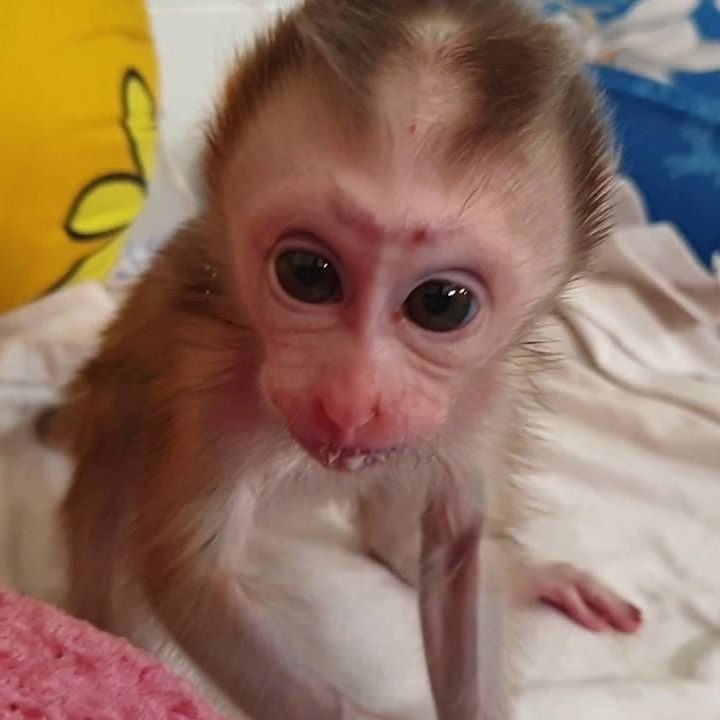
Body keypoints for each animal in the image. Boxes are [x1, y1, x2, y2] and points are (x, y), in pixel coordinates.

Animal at [37, 1, 644, 718]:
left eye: (442, 304)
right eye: (308, 273)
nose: (352, 399)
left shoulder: (489, 391)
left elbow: (462, 549)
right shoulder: (206, 372)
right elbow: (190, 571)